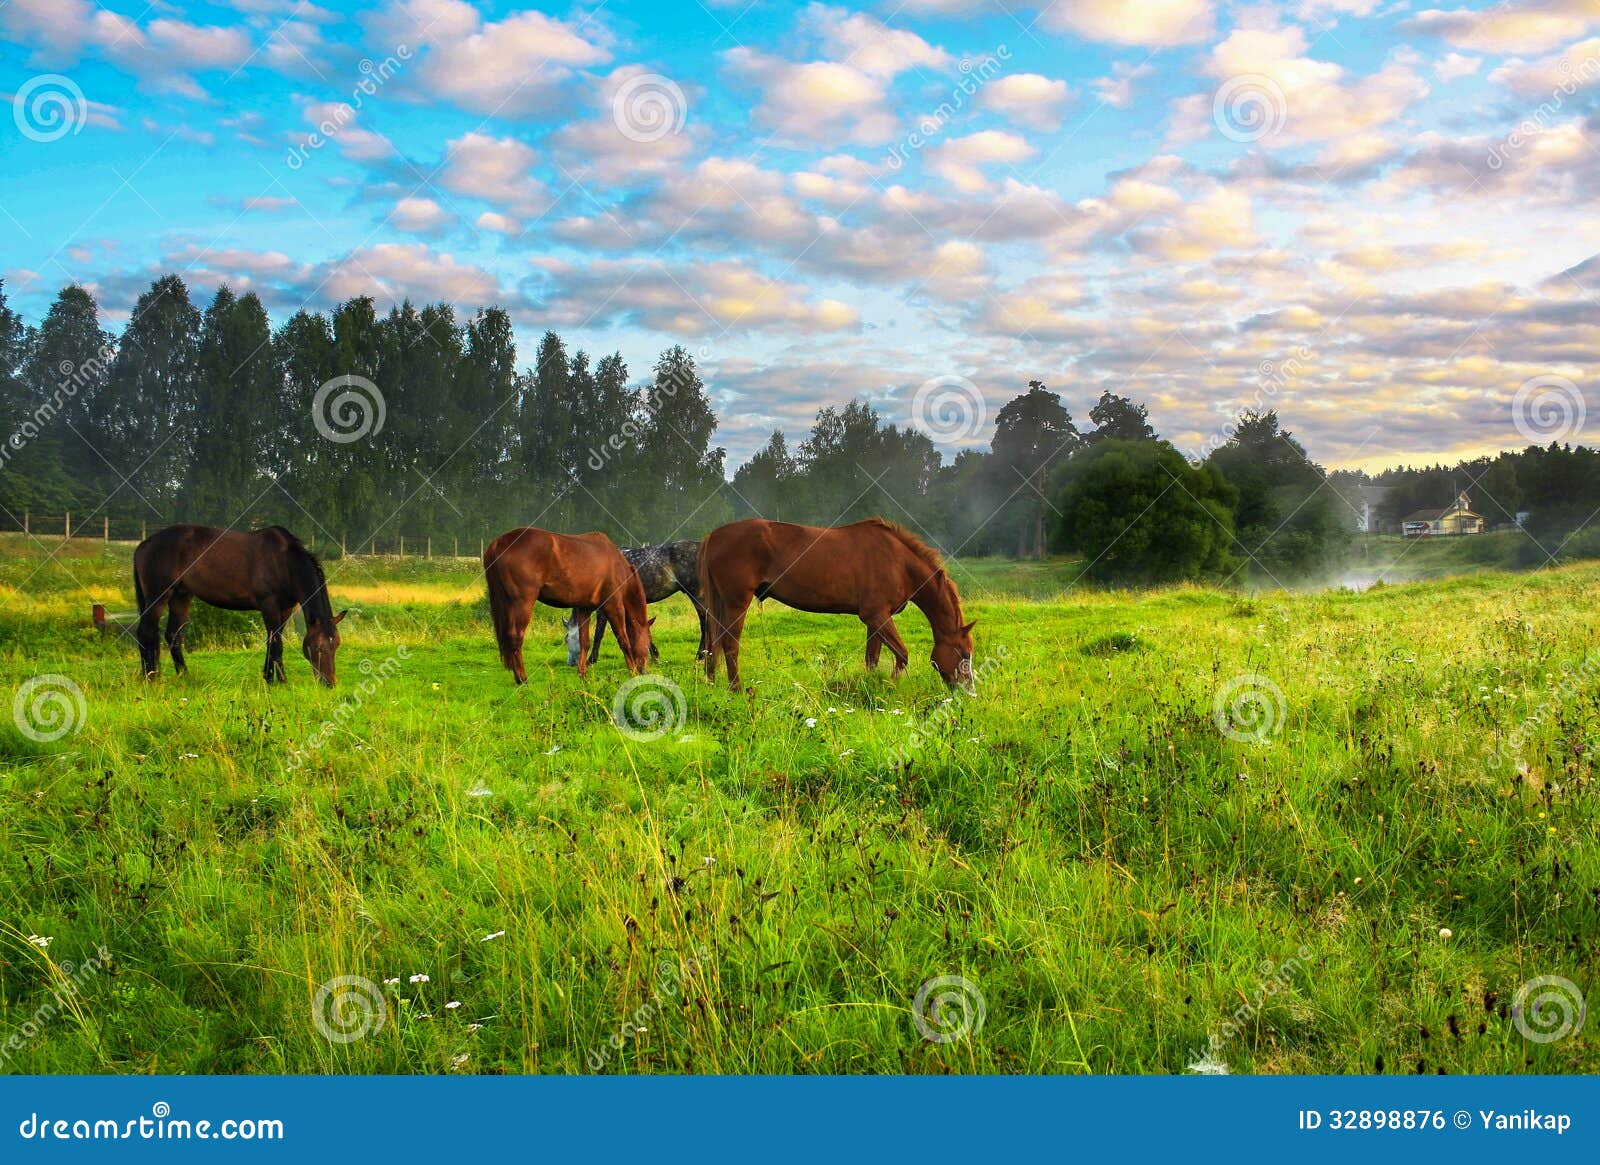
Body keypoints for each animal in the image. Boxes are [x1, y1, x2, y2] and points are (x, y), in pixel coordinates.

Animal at [132, 525, 347, 685]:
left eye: (336, 645)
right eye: (317, 647)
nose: (329, 683)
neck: (284, 563)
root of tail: (144, 544)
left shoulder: (285, 609)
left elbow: (276, 640)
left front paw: (277, 678)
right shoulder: (268, 604)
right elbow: (274, 641)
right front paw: (273, 680)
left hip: (181, 597)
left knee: (173, 636)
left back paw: (184, 676)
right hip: (158, 597)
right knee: (146, 632)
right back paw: (150, 677)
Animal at [483, 527, 652, 684]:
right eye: (647, 644)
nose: (644, 669)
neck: (618, 565)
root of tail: (500, 542)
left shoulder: (585, 609)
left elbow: (585, 642)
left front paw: (582, 675)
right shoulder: (613, 606)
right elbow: (623, 640)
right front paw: (633, 672)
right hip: (522, 603)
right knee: (516, 637)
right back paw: (522, 679)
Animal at [563, 540, 708, 666]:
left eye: (566, 638)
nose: (570, 663)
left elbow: (599, 633)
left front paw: (591, 660)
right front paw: (653, 655)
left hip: (696, 595)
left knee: (705, 623)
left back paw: (700, 657)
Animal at [698, 517, 976, 693]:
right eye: (964, 655)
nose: (969, 692)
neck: (899, 562)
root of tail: (713, 536)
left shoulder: (875, 620)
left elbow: (872, 658)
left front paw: (870, 685)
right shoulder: (877, 616)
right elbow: (902, 654)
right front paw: (890, 685)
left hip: (720, 604)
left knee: (713, 642)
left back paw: (711, 684)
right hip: (736, 602)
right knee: (729, 644)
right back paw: (736, 689)